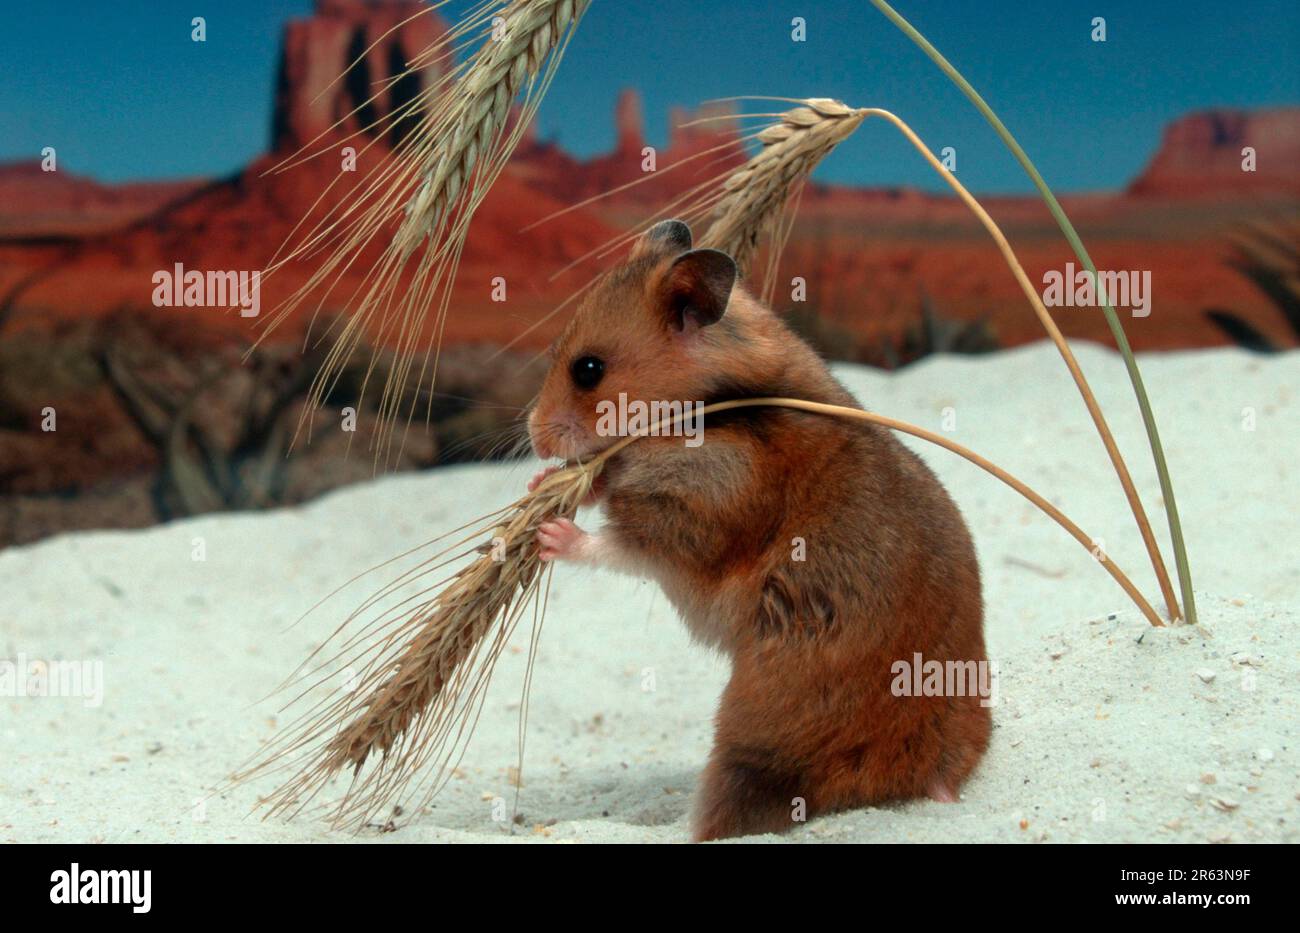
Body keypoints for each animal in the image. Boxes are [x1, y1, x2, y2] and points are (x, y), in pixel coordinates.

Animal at [527, 219, 991, 841]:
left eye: (588, 369)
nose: (535, 439)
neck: (712, 407)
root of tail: (925, 775)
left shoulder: (693, 513)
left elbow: (618, 544)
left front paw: (549, 532)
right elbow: (603, 480)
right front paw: (545, 485)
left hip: (759, 737)